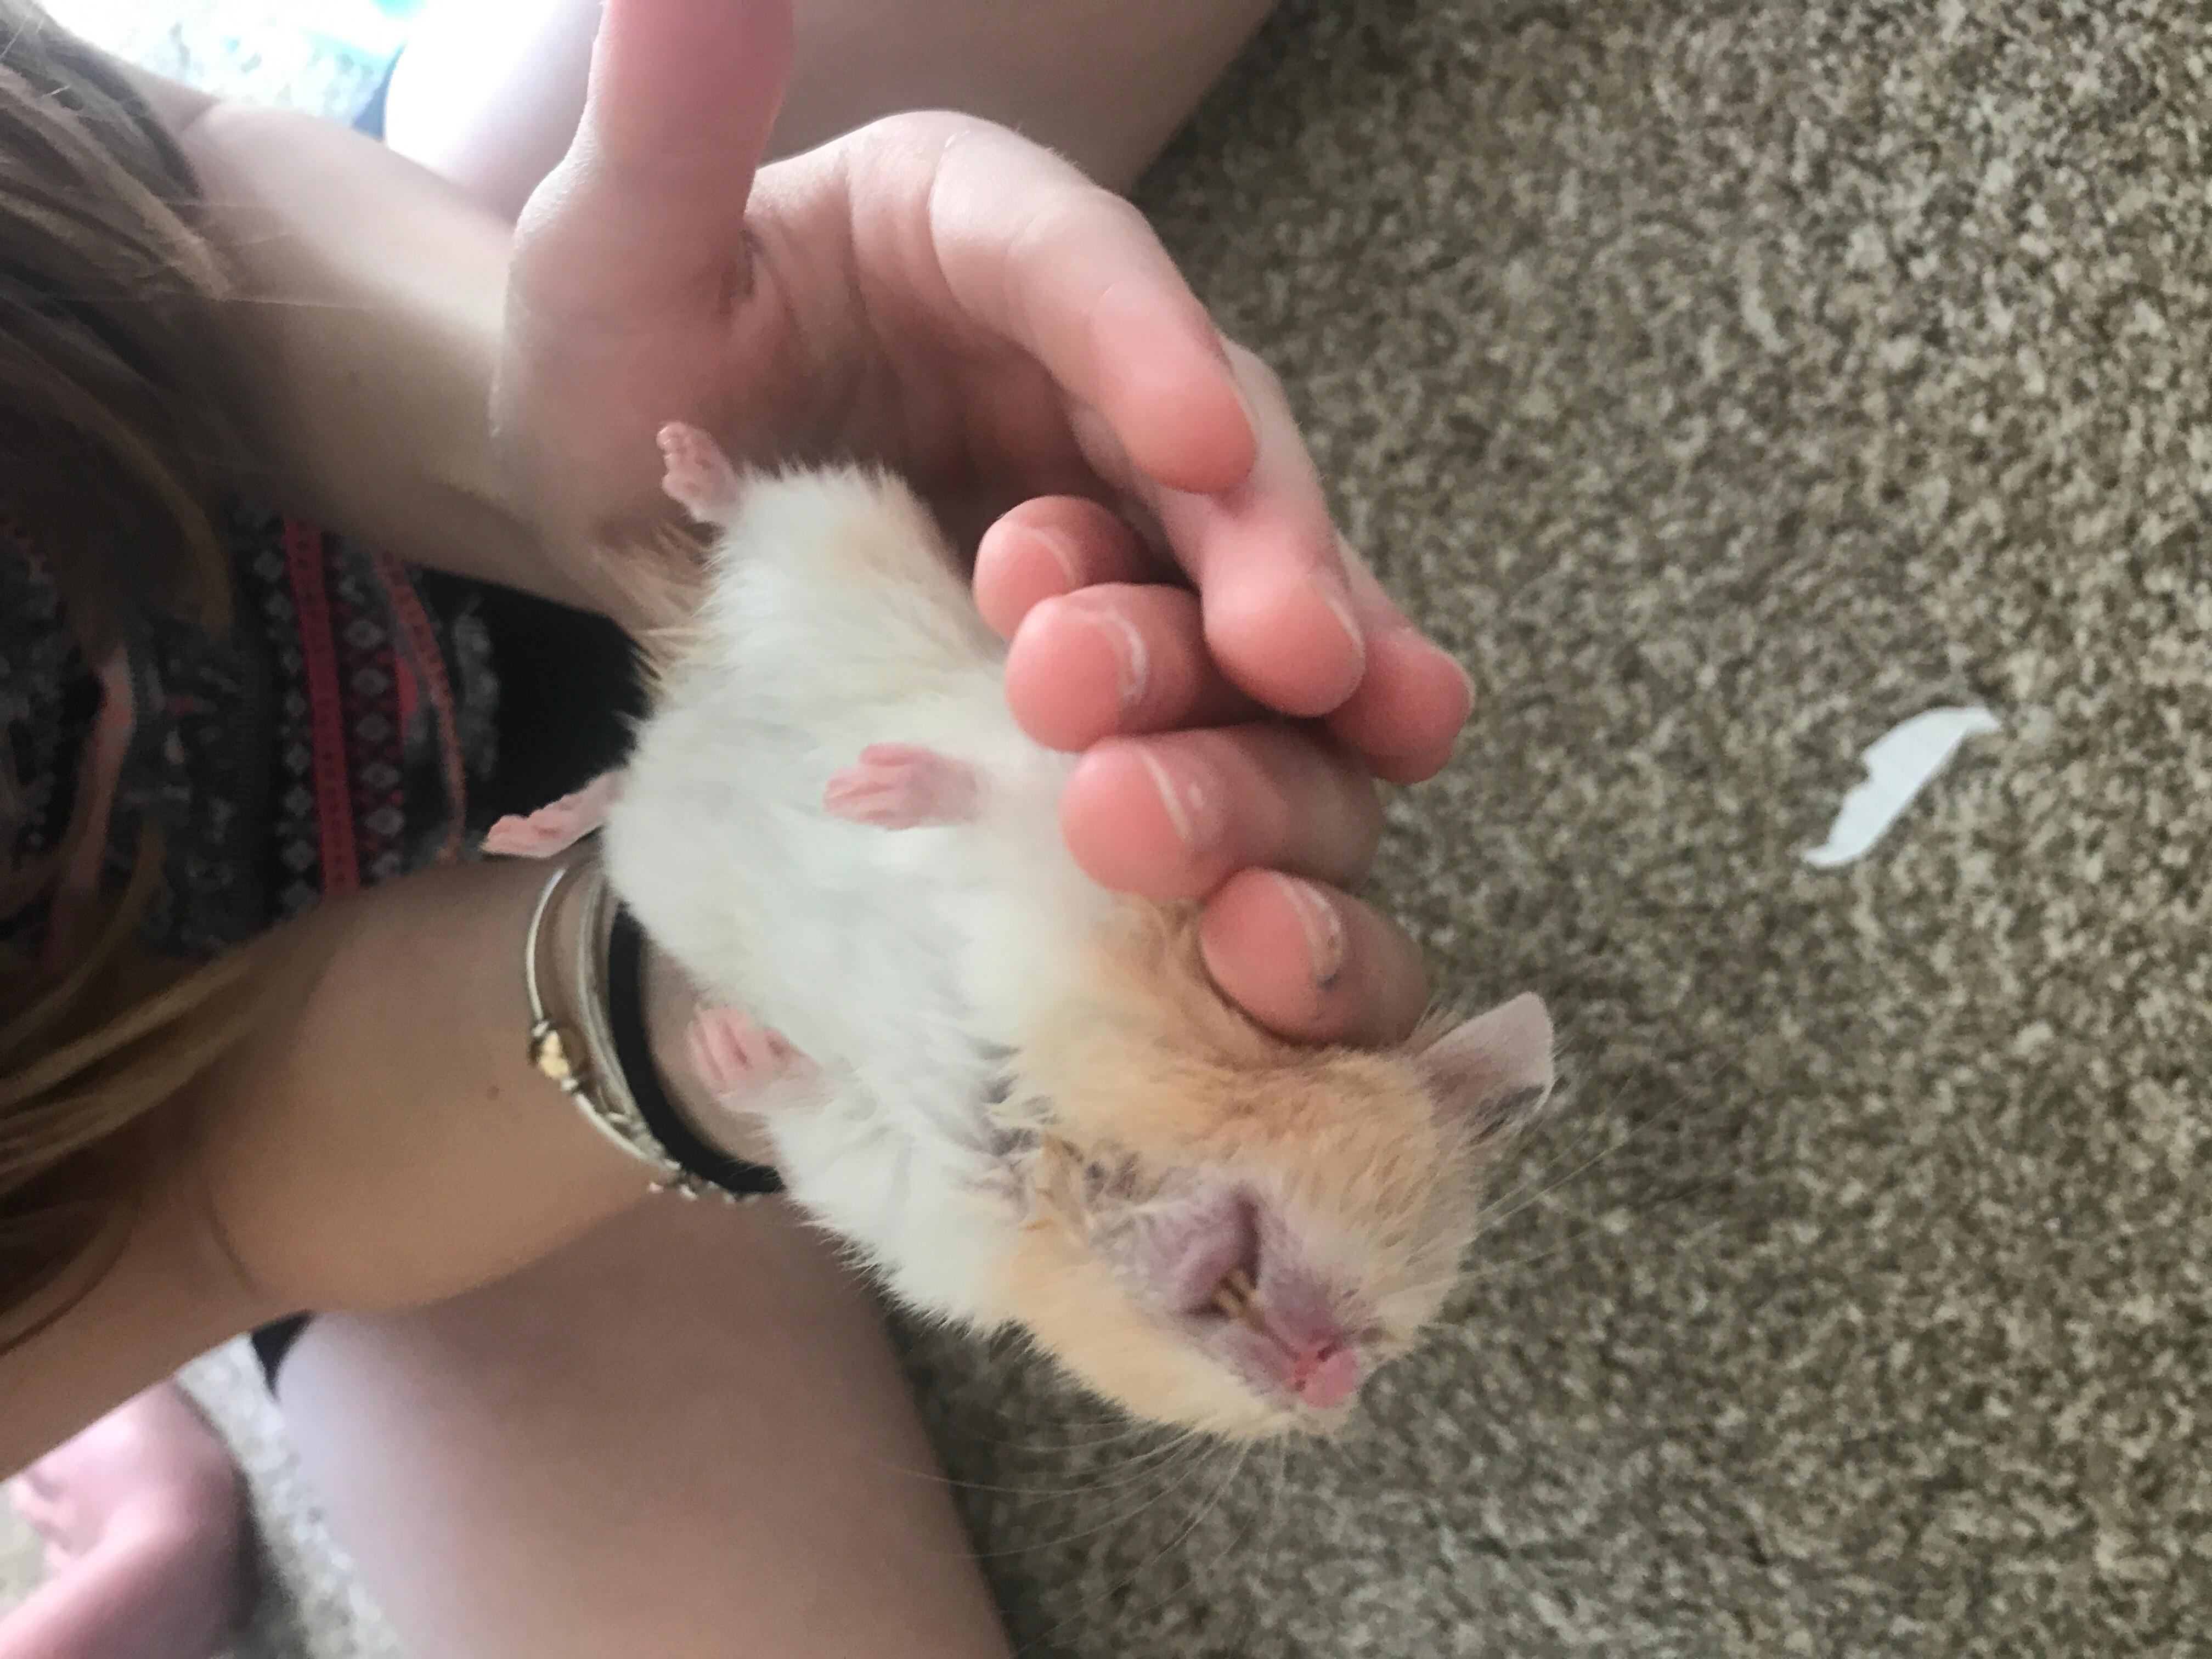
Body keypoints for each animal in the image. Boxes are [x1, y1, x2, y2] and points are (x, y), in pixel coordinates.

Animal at [491, 423, 1558, 1439]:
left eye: (1384, 1345)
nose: (1330, 1383)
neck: (1064, 1148)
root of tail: (685, 707)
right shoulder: (1080, 843)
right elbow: (987, 795)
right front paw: (873, 791)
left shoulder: (896, 1180)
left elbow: (816, 1114)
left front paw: (727, 1046)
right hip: (830, 537)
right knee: (752, 514)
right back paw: (688, 466)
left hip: (675, 765)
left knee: (620, 785)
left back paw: (530, 827)